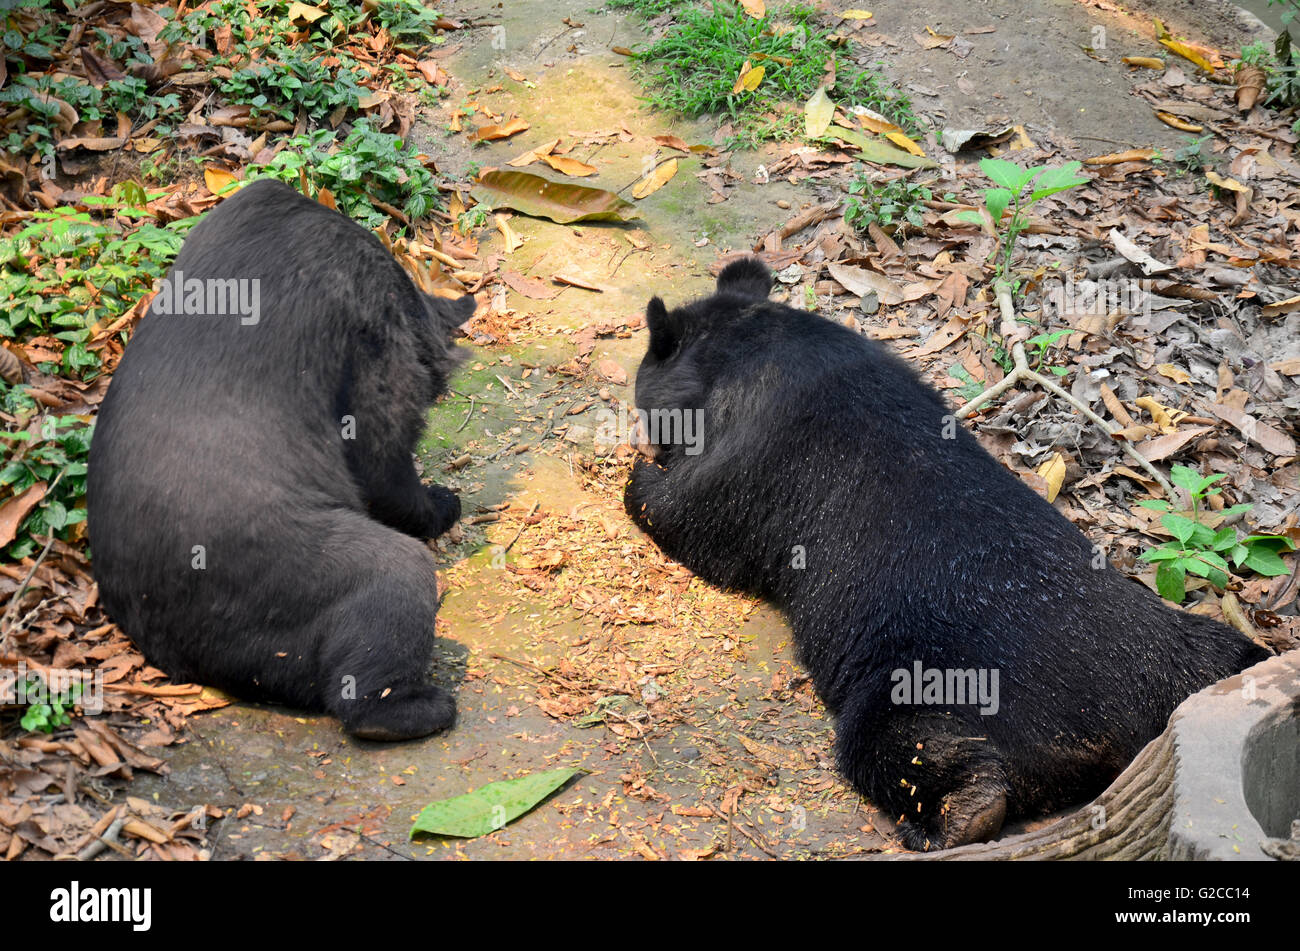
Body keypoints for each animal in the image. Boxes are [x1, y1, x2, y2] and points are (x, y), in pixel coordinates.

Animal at [87, 178, 474, 741]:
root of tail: (168, 645)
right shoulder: (373, 330)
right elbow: (381, 442)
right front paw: (441, 505)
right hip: (291, 576)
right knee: (391, 583)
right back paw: (414, 709)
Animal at [624, 256, 1271, 850]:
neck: (747, 342)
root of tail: (1120, 730)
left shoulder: (753, 452)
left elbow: (685, 512)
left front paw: (639, 472)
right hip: (1190, 654)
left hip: (936, 673)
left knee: (903, 744)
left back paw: (960, 815)